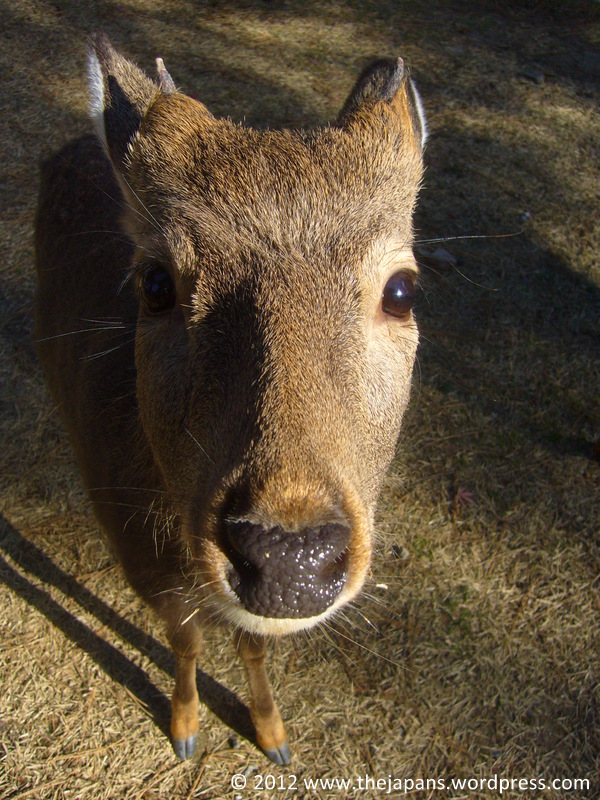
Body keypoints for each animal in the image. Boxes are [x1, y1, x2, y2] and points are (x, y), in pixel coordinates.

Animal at [34, 33, 426, 765]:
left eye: (403, 289)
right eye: (155, 282)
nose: (289, 557)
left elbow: (251, 643)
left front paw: (273, 736)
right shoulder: (140, 563)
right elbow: (186, 640)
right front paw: (184, 729)